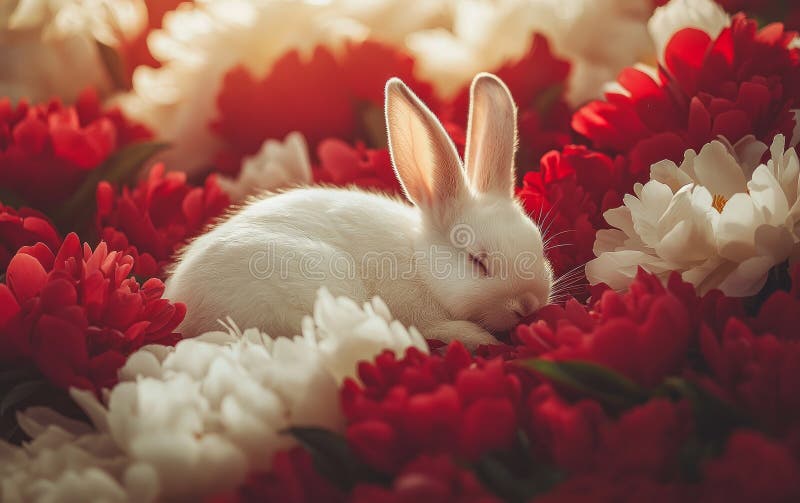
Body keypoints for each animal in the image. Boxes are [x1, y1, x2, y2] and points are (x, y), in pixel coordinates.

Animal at [164, 72, 553, 348]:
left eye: (539, 245)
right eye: (477, 261)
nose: (528, 304)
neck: (422, 268)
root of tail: (179, 302)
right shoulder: (419, 313)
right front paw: (479, 338)